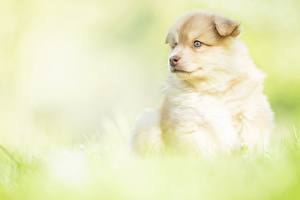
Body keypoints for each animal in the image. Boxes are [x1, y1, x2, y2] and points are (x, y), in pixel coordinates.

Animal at [132, 10, 274, 156]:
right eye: (175, 45)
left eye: (197, 44)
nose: (172, 59)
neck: (212, 89)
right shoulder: (190, 124)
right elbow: (200, 151)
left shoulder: (250, 113)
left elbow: (250, 140)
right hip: (147, 121)